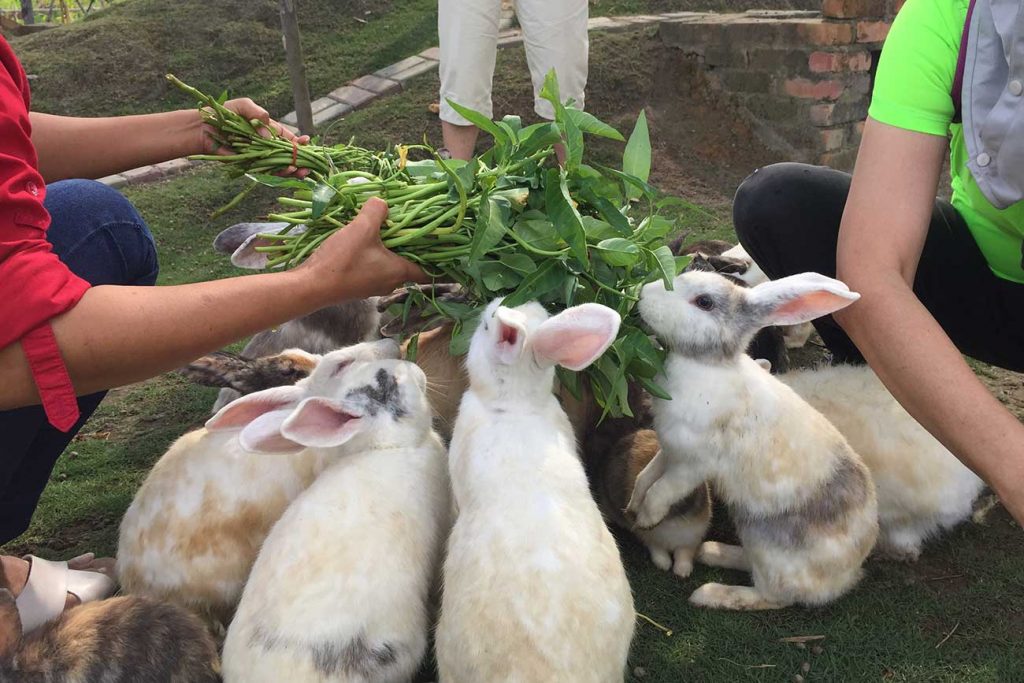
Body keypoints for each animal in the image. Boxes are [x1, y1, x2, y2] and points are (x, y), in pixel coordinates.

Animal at [629, 271, 879, 610]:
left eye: (704, 302)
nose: (642, 294)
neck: (707, 366)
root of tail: (849, 574)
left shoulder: (692, 465)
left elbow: (662, 491)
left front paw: (646, 520)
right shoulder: (670, 449)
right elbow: (646, 478)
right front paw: (632, 506)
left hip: (765, 543)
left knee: (773, 596)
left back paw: (710, 593)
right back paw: (712, 551)